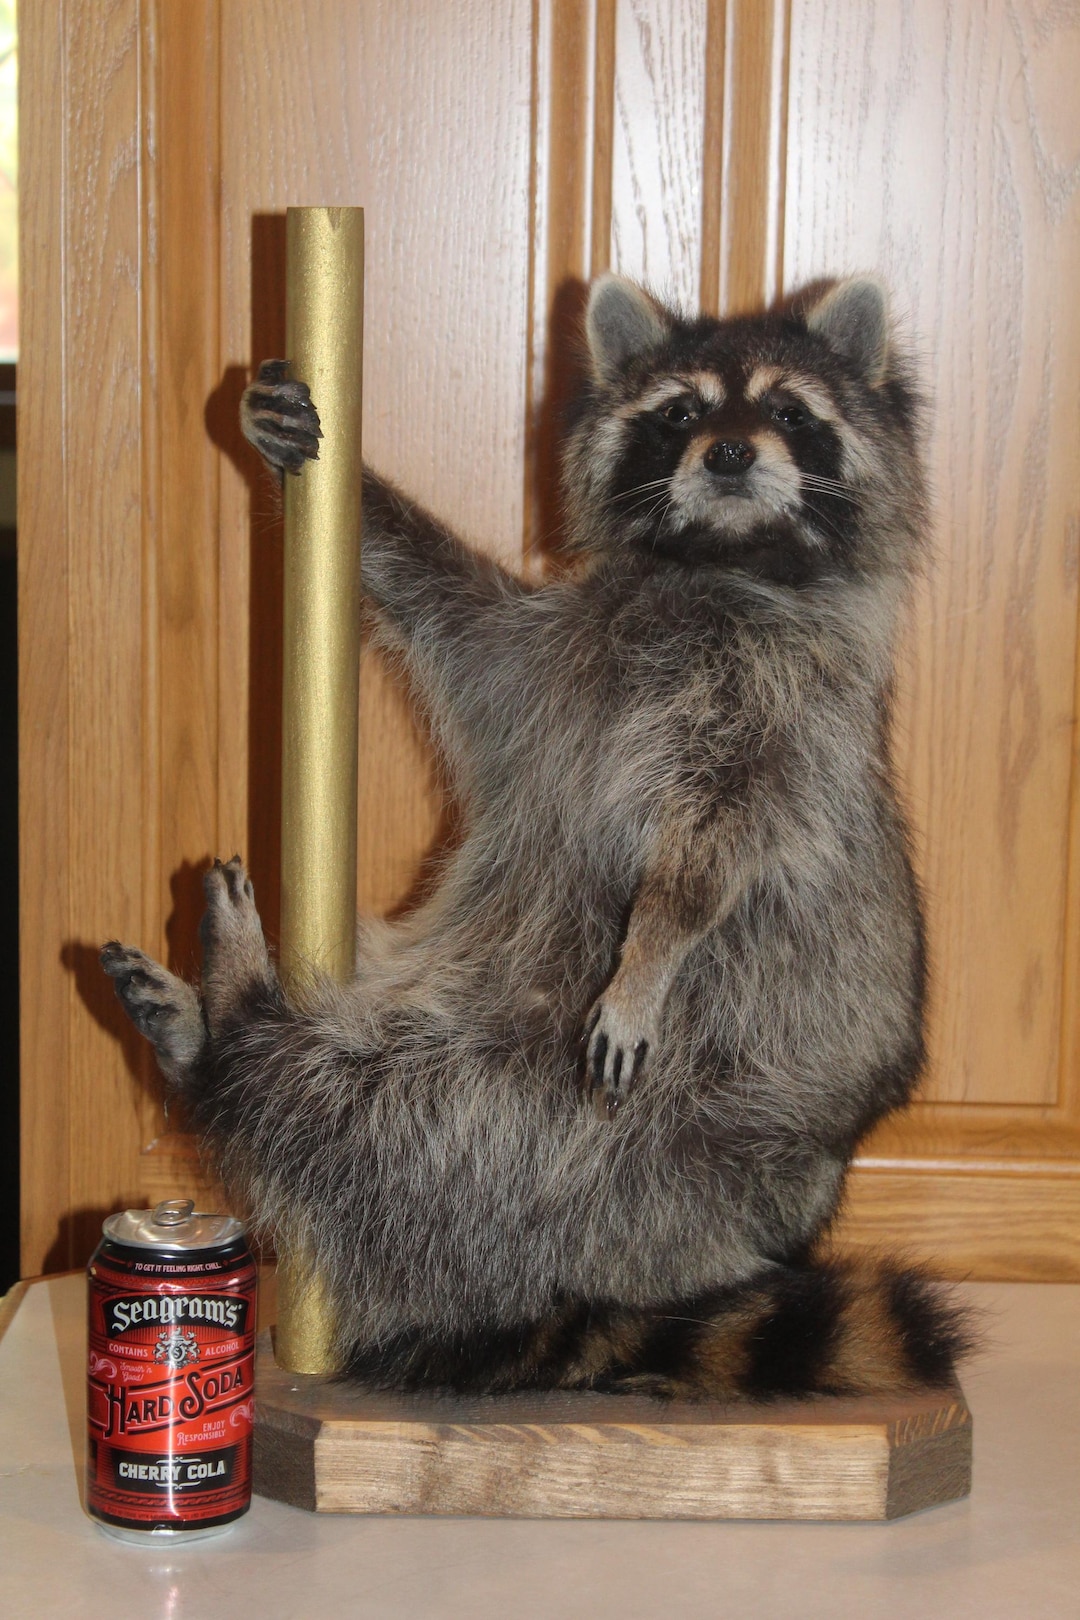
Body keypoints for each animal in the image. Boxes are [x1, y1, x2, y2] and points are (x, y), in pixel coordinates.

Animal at [102, 275, 970, 1399]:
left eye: (788, 410)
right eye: (680, 415)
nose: (732, 454)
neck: (720, 562)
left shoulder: (788, 716)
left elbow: (721, 844)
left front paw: (655, 943)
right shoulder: (540, 658)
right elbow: (444, 598)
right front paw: (333, 475)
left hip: (651, 1146)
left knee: (394, 1125)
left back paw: (241, 1019)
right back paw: (204, 1021)